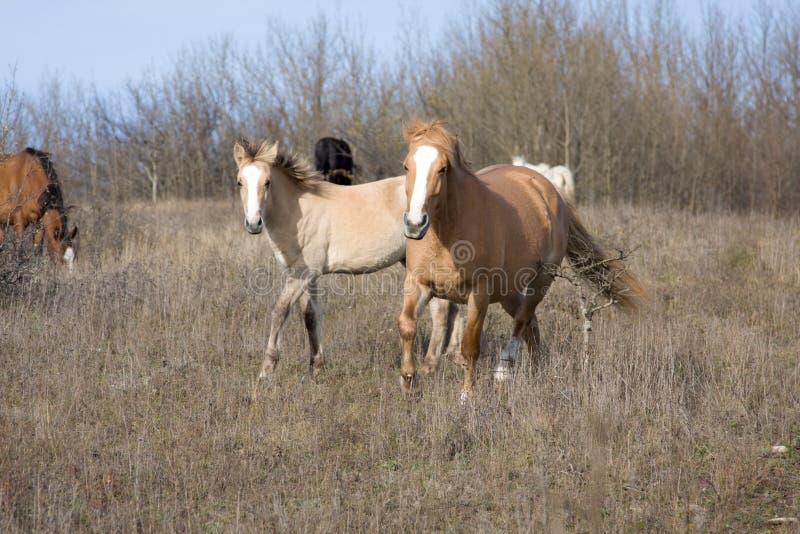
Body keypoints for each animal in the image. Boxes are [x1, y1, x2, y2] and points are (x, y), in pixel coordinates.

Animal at [233, 138, 463, 381]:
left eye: (267, 183)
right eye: (240, 182)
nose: (253, 223)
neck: (299, 214)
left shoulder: (301, 274)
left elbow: (280, 311)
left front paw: (266, 371)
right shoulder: (307, 276)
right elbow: (310, 315)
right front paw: (316, 368)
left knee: (441, 309)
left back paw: (430, 366)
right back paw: (453, 357)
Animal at [400, 120, 643, 400]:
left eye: (442, 169)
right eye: (406, 166)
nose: (415, 224)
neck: (447, 237)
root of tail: (549, 191)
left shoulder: (479, 294)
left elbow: (470, 346)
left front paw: (467, 396)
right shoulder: (418, 285)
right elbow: (407, 325)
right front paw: (409, 382)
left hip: (542, 279)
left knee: (522, 319)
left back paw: (504, 370)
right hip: (509, 291)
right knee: (531, 326)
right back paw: (536, 372)